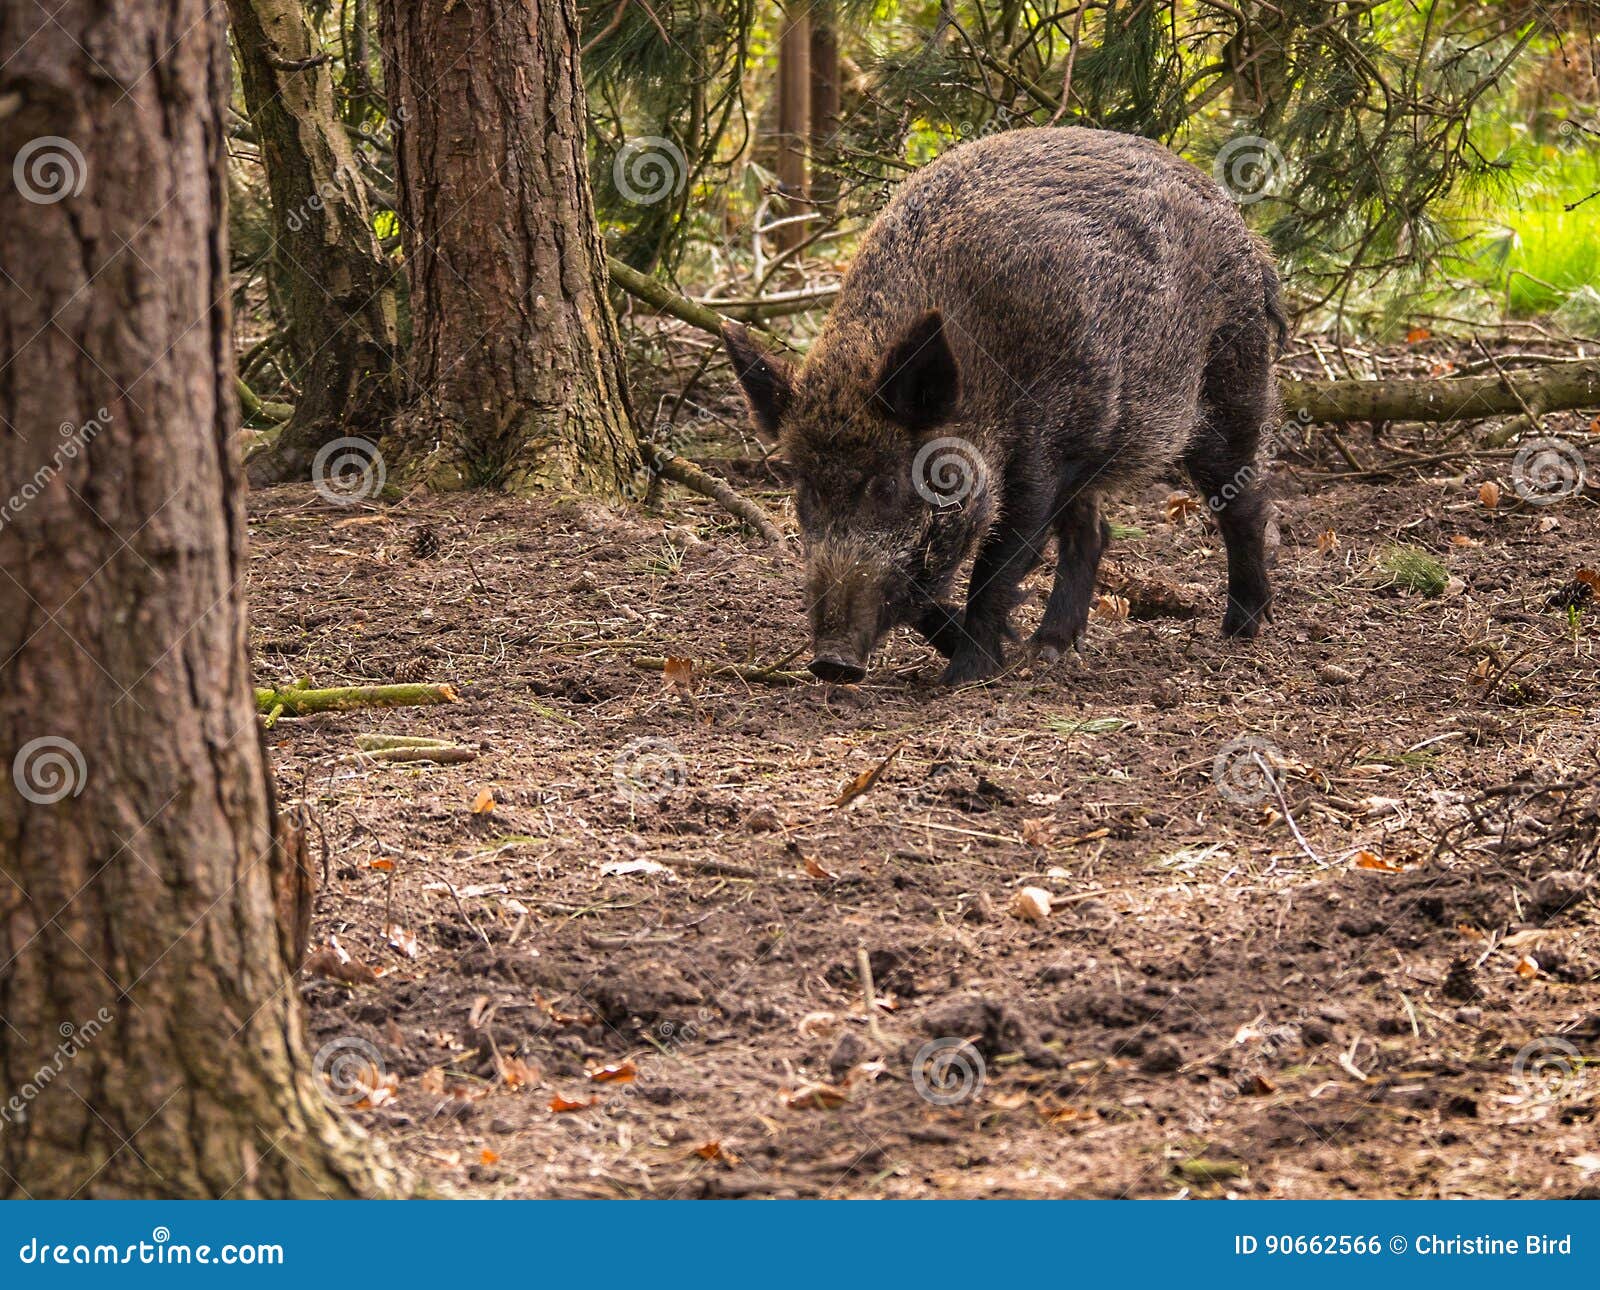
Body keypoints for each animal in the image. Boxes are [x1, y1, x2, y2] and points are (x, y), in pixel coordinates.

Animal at [723, 126, 1284, 685]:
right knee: (1092, 531)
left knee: (1243, 498)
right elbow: (928, 586)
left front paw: (964, 677)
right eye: (804, 489)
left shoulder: (1037, 456)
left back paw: (1241, 629)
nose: (830, 661)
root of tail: (1246, 235)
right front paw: (990, 653)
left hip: (1232, 381)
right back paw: (1048, 649)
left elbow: (994, 566)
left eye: (886, 486)